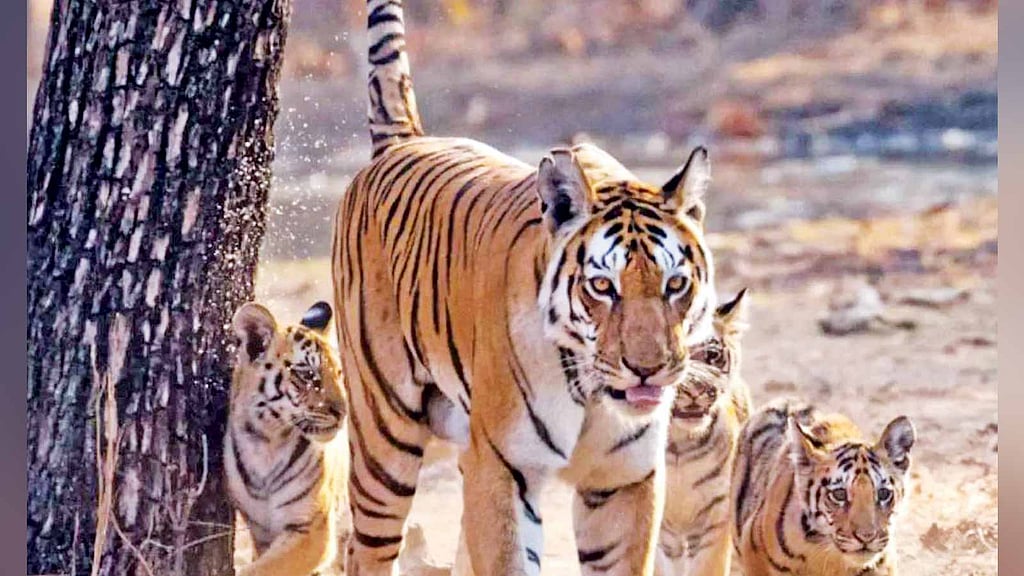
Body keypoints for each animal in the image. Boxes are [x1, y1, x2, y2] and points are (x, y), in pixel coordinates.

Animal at [225, 301, 351, 576]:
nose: (343, 411)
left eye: (338, 373)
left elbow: (263, 569)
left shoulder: (312, 528)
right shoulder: (260, 530)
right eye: (308, 374)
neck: (266, 440)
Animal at [330, 1, 719, 575]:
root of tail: (406, 141)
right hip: (385, 438)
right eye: (602, 286)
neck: (592, 392)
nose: (647, 369)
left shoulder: (624, 478)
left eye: (675, 284)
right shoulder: (502, 470)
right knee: (367, 547)